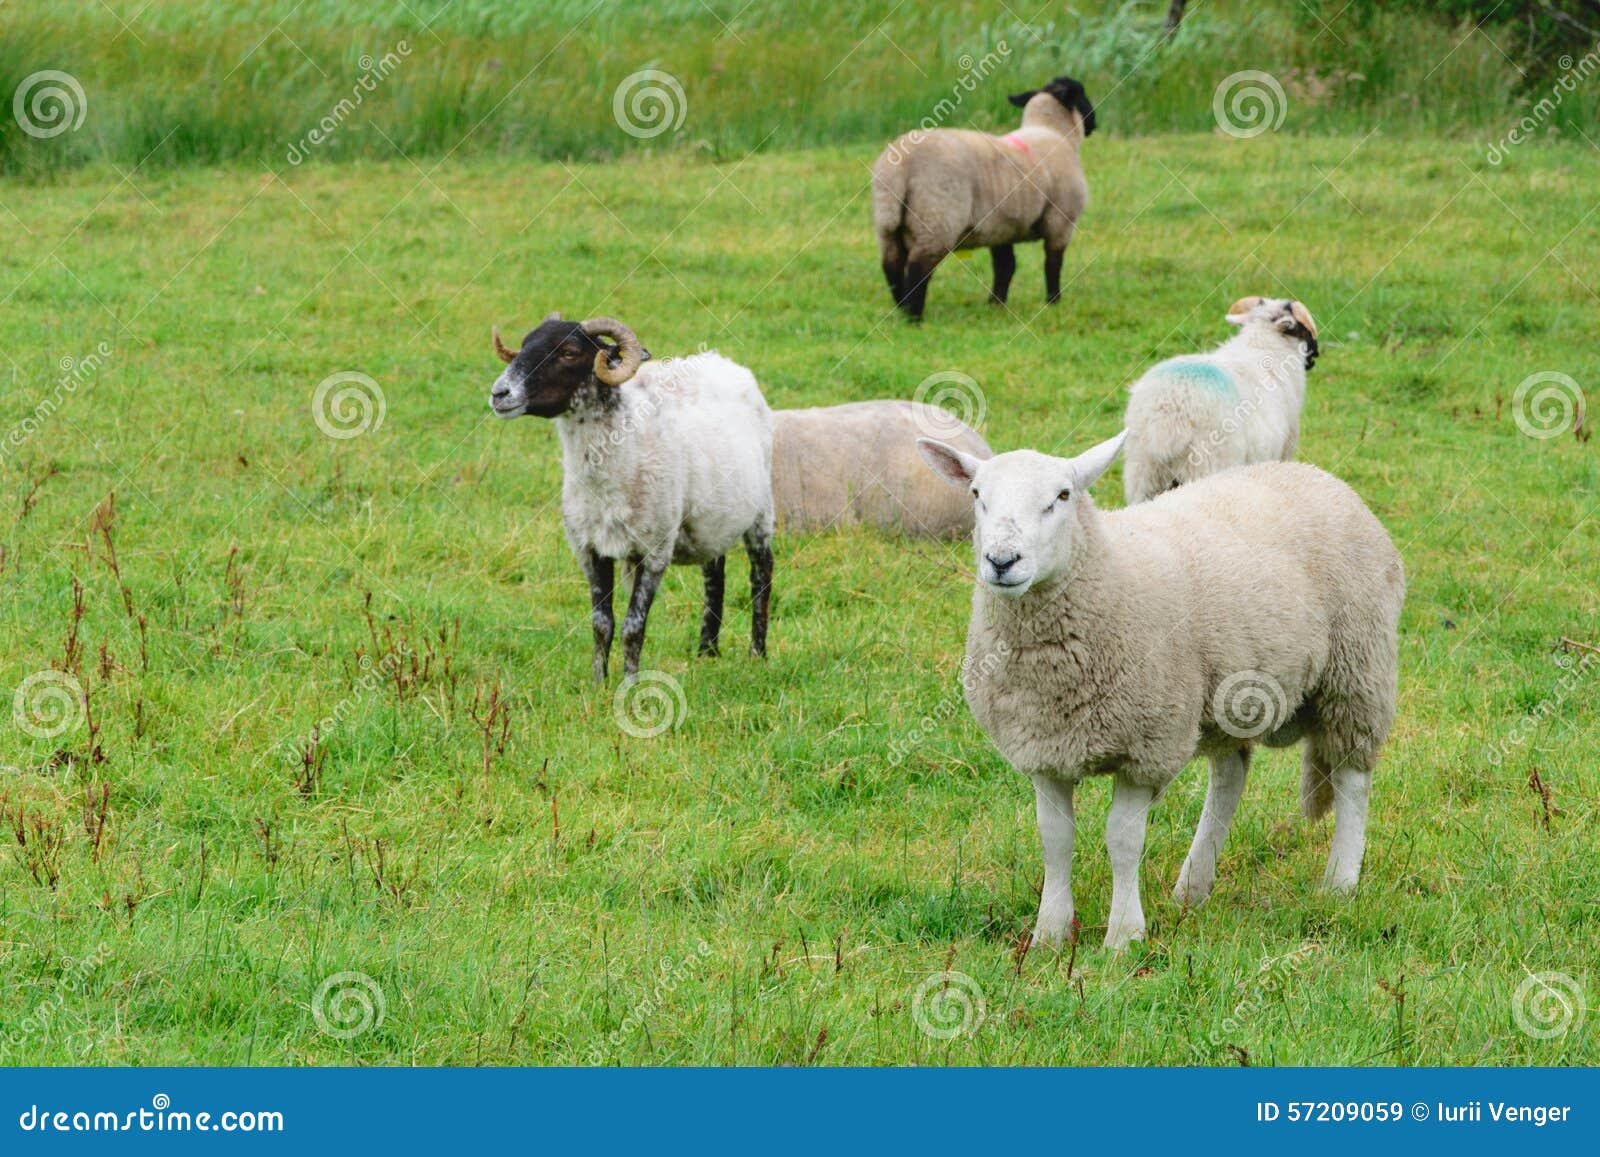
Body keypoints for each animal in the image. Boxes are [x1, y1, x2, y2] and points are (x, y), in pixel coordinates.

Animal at [489, 314, 775, 681]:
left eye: (568, 352)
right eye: (524, 344)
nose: (499, 393)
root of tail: (722, 360)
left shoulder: (654, 552)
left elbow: (632, 627)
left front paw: (630, 682)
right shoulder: (589, 549)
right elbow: (601, 624)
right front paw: (598, 681)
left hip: (761, 512)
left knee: (761, 575)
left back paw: (757, 654)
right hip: (711, 519)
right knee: (715, 574)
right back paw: (707, 652)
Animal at [872, 75, 1095, 321]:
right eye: (1083, 95)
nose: (1094, 123)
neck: (1051, 132)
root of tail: (900, 168)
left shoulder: (1002, 225)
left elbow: (1006, 266)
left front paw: (996, 303)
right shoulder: (1060, 222)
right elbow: (1053, 265)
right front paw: (1053, 301)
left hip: (888, 223)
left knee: (891, 265)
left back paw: (902, 309)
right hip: (937, 218)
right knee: (918, 268)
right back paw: (914, 317)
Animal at [916, 432, 1404, 949]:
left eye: (1062, 497)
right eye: (977, 496)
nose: (1002, 561)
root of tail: (1315, 475)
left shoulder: (1145, 747)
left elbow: (1122, 840)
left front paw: (1123, 937)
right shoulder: (1044, 750)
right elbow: (1055, 839)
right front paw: (1049, 935)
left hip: (1357, 672)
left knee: (1352, 778)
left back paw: (1340, 881)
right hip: (1229, 698)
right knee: (1230, 777)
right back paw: (1193, 887)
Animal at [1122, 296, 1319, 504]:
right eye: (1304, 328)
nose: (1315, 354)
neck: (1263, 343)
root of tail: (1169, 412)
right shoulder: (1284, 450)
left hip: (1144, 475)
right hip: (1207, 465)